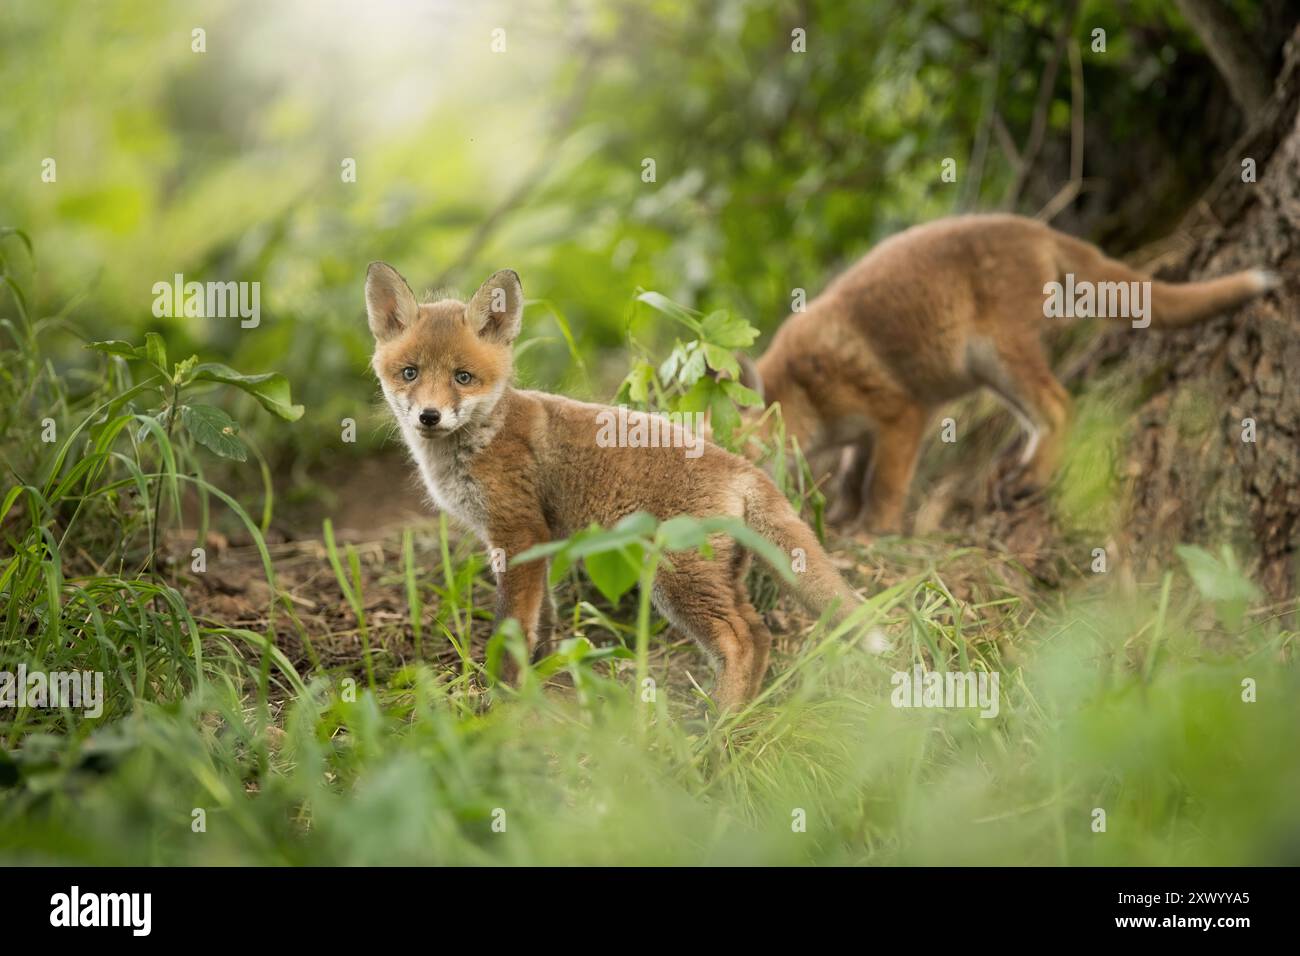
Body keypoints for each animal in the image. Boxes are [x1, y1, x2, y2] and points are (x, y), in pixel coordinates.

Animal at [364, 261, 861, 710]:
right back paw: (738, 715)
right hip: (719, 574)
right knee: (759, 635)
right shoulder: (542, 541)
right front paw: (540, 673)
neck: (483, 436)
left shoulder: (518, 532)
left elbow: (512, 626)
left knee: (739, 640)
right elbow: (543, 619)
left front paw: (502, 695)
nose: (429, 416)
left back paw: (715, 729)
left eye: (462, 377)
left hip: (677, 577)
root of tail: (741, 466)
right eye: (410, 373)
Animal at [736, 213, 1280, 536]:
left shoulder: (902, 412)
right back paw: (1018, 470)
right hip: (991, 373)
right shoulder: (864, 435)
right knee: (1041, 415)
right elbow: (852, 478)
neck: (805, 391)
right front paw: (843, 520)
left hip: (1001, 354)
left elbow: (883, 485)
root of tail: (1034, 226)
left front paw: (872, 531)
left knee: (1060, 405)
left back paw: (1032, 477)